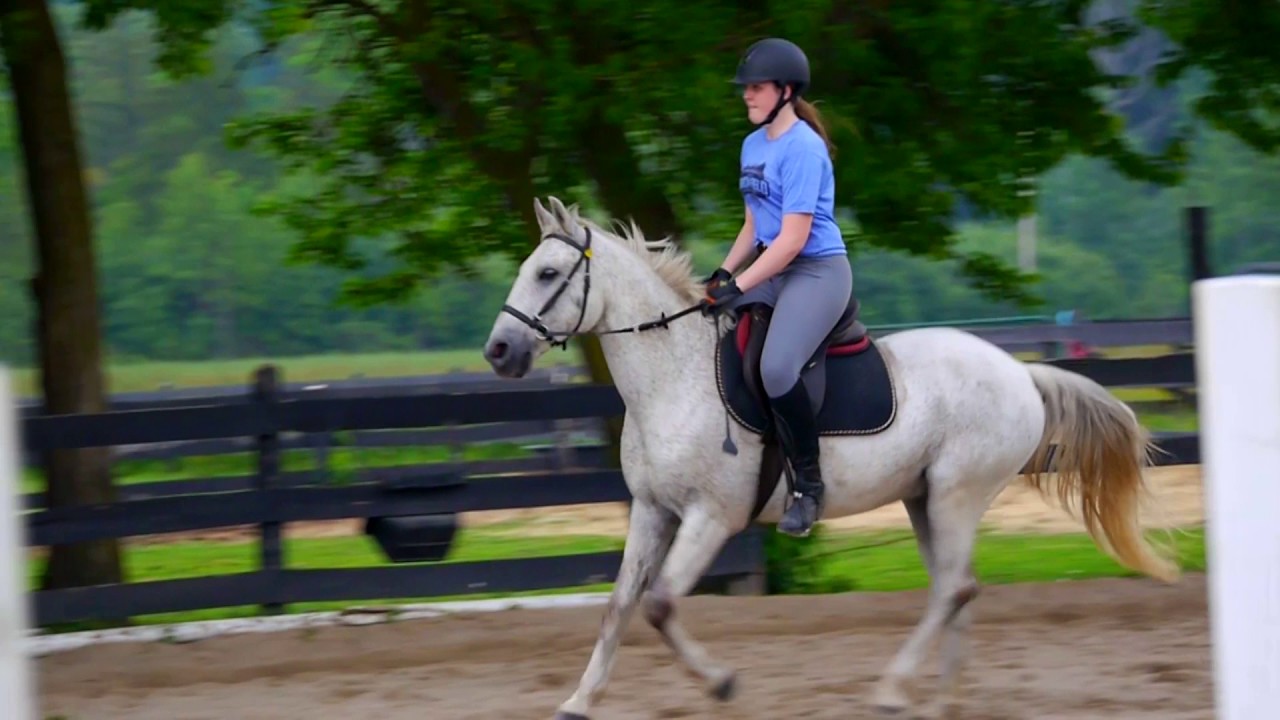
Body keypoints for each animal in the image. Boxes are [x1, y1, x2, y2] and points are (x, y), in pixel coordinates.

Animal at [481, 196, 1181, 719]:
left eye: (547, 275)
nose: (498, 352)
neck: (673, 376)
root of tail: (1021, 373)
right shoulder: (654, 511)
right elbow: (619, 606)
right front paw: (578, 701)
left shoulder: (711, 518)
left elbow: (659, 605)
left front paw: (722, 683)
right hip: (925, 498)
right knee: (957, 588)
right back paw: (941, 702)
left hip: (956, 494)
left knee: (954, 588)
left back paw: (894, 691)